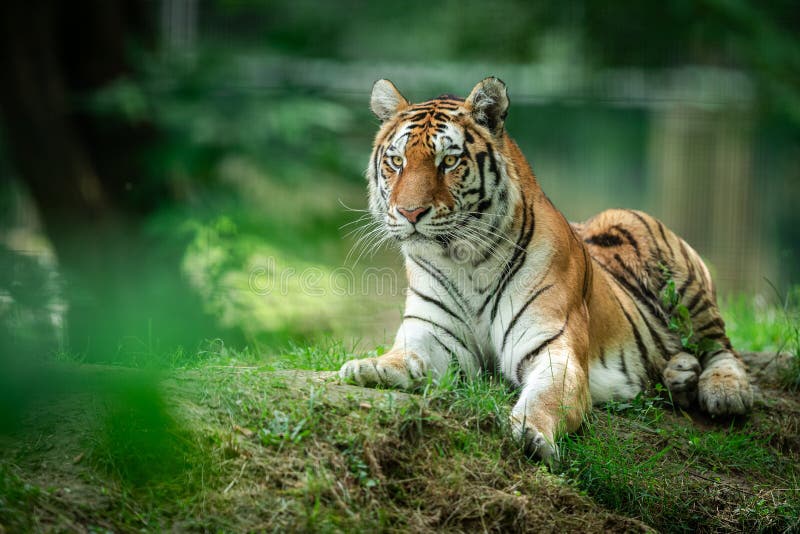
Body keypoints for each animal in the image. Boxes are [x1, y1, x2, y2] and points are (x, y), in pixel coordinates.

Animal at [339, 77, 753, 461]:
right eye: (397, 162)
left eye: (449, 162)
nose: (409, 213)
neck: (464, 262)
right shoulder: (432, 335)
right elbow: (403, 356)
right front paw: (368, 368)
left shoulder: (552, 345)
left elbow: (547, 395)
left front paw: (530, 432)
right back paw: (679, 373)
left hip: (683, 282)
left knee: (722, 346)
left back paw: (725, 390)